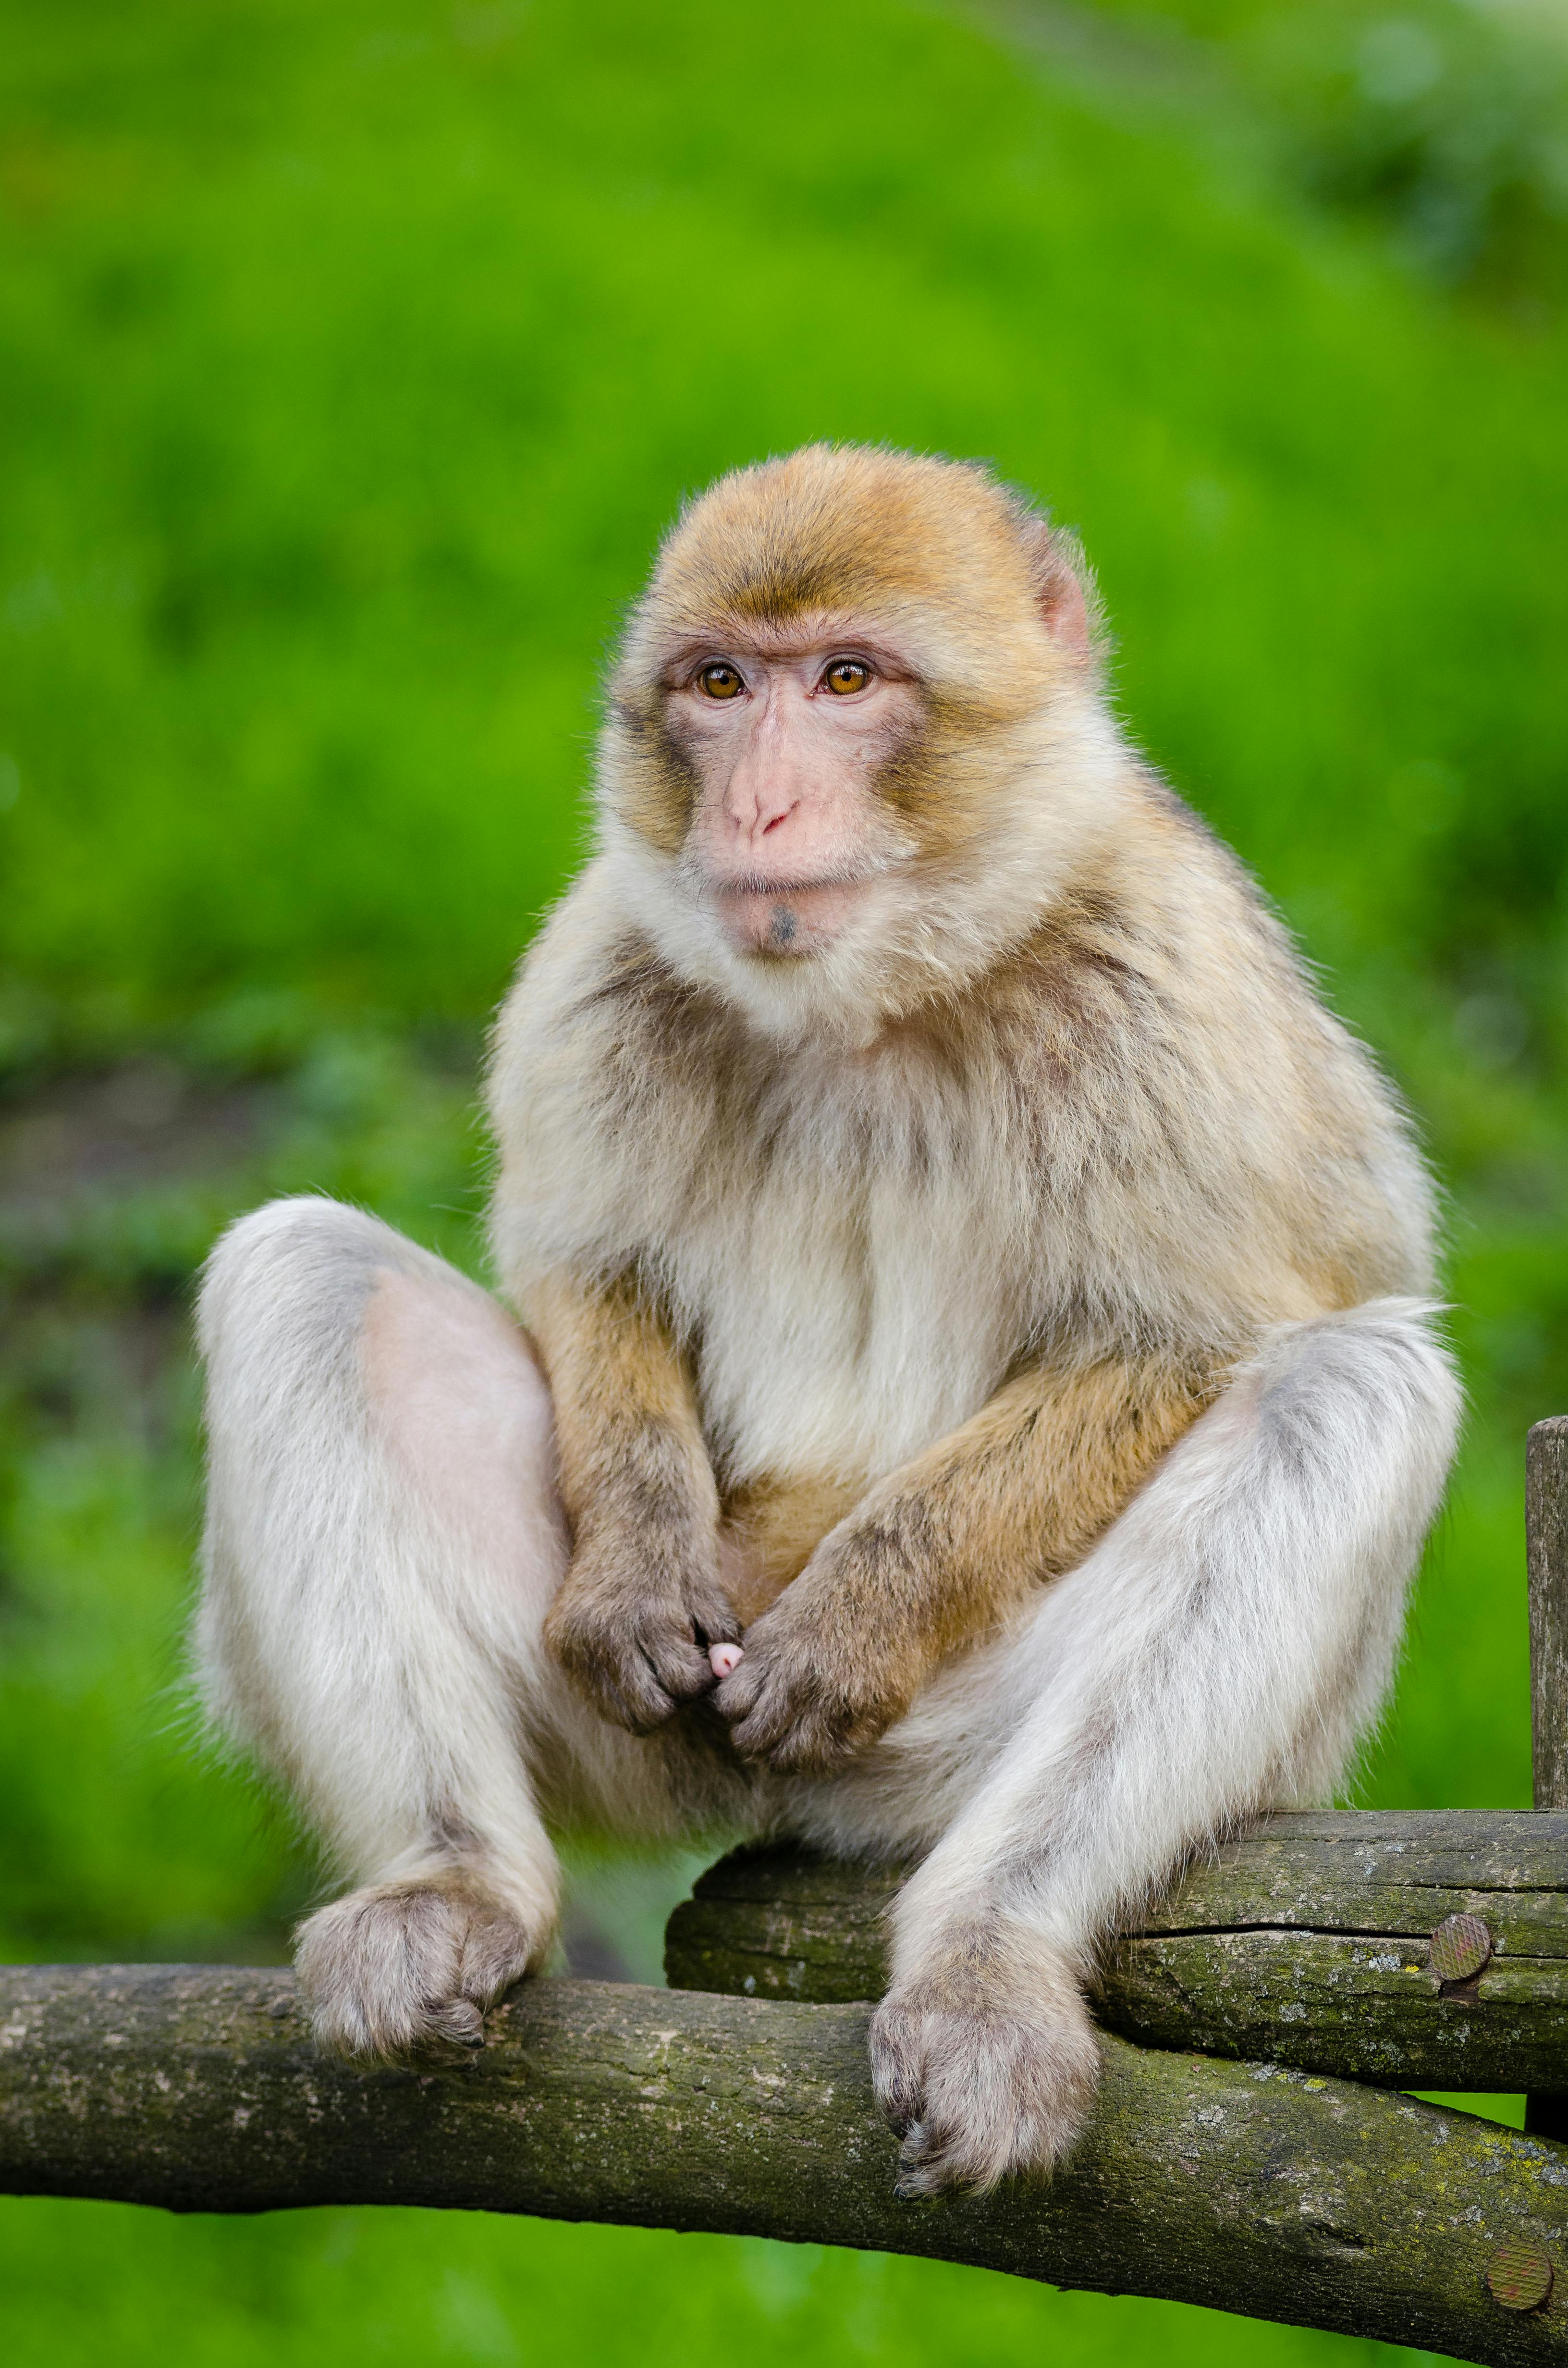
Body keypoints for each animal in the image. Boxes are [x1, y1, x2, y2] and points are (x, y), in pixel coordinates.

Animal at [196, 443, 1459, 2197]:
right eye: (722, 684)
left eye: (848, 681)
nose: (757, 804)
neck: (878, 999)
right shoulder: (601, 952)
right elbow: (587, 1272)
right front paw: (636, 1567)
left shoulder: (1158, 984)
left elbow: (1188, 1334)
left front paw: (859, 1611)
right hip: (622, 1739)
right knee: (297, 1272)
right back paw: (450, 1888)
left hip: (934, 1758)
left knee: (1346, 1387)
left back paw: (987, 1964)